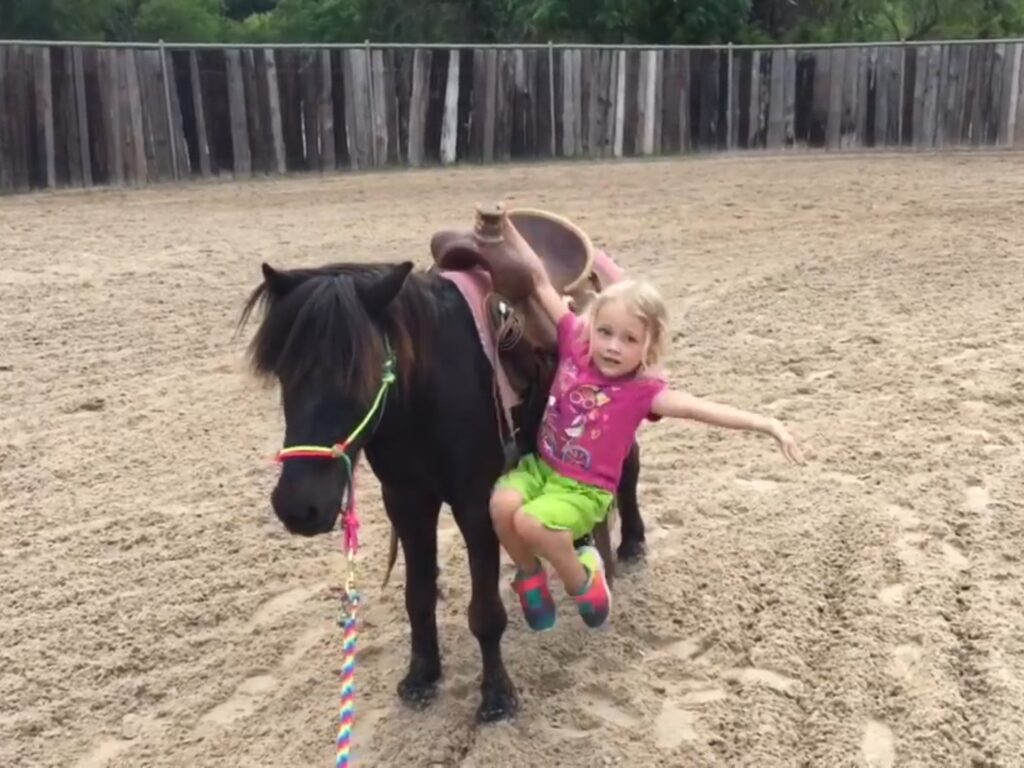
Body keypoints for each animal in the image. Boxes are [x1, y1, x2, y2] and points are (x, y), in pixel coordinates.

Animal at [237, 259, 647, 722]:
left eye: (359, 375)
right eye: (284, 373)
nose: (297, 507)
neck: (428, 396)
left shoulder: (475, 504)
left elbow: (485, 613)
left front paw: (496, 696)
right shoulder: (406, 501)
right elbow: (417, 597)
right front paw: (421, 676)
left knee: (628, 469)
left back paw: (632, 543)